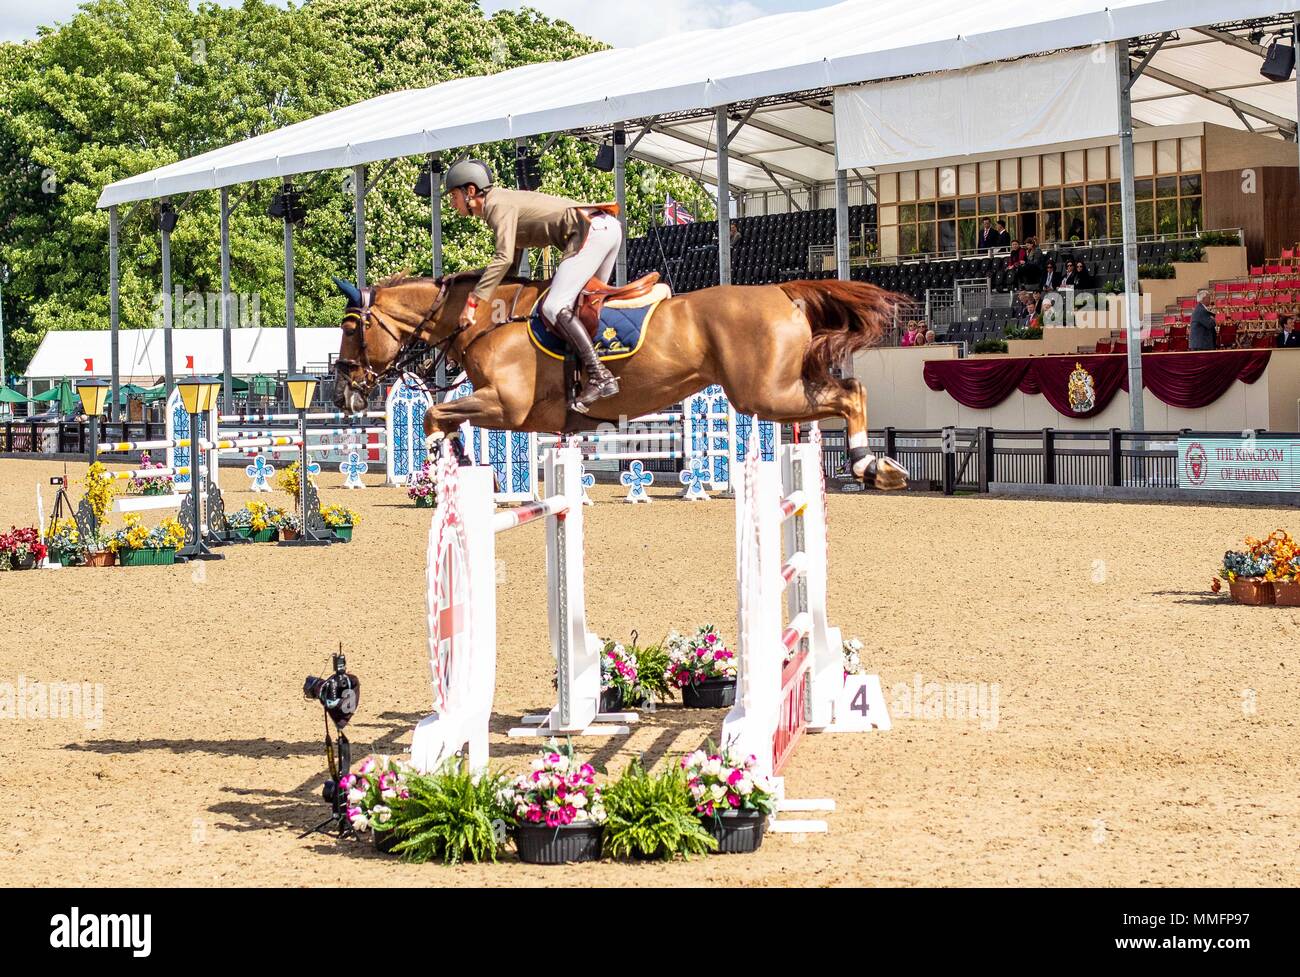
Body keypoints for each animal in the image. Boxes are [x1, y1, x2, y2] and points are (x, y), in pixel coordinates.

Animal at [332, 271, 908, 488]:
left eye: (352, 328)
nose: (343, 392)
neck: (482, 320)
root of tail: (783, 293)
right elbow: (446, 419)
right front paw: (457, 465)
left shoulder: (506, 407)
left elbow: (434, 414)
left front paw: (436, 459)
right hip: (774, 390)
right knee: (849, 393)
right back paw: (876, 466)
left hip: (765, 394)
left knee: (851, 393)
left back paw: (871, 465)